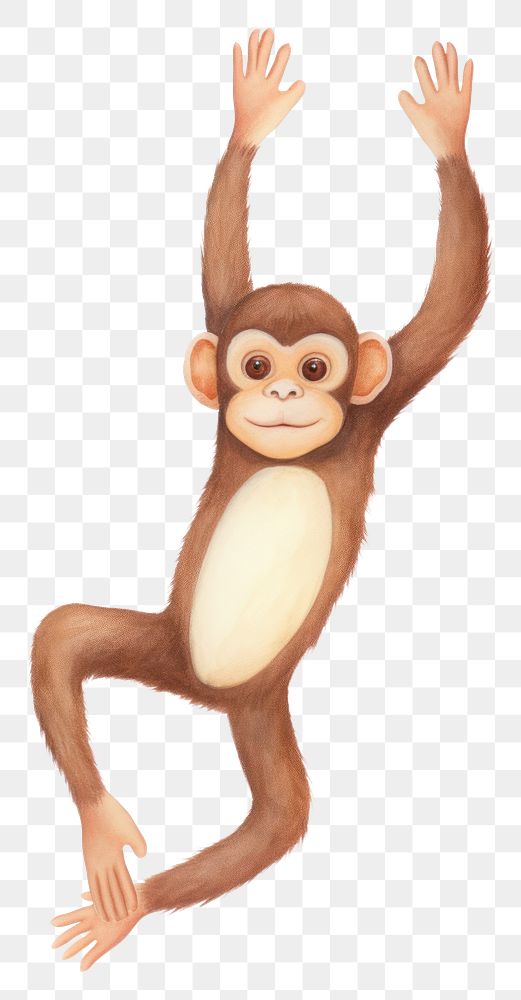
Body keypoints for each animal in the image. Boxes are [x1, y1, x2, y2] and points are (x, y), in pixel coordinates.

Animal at [31, 30, 489, 970]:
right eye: (252, 363)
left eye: (313, 366)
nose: (281, 393)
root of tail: (207, 695)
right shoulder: (228, 329)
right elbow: (222, 263)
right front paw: (250, 122)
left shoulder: (379, 404)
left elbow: (451, 302)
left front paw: (446, 134)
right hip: (168, 649)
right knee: (62, 638)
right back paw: (105, 837)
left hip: (257, 709)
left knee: (279, 821)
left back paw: (132, 902)